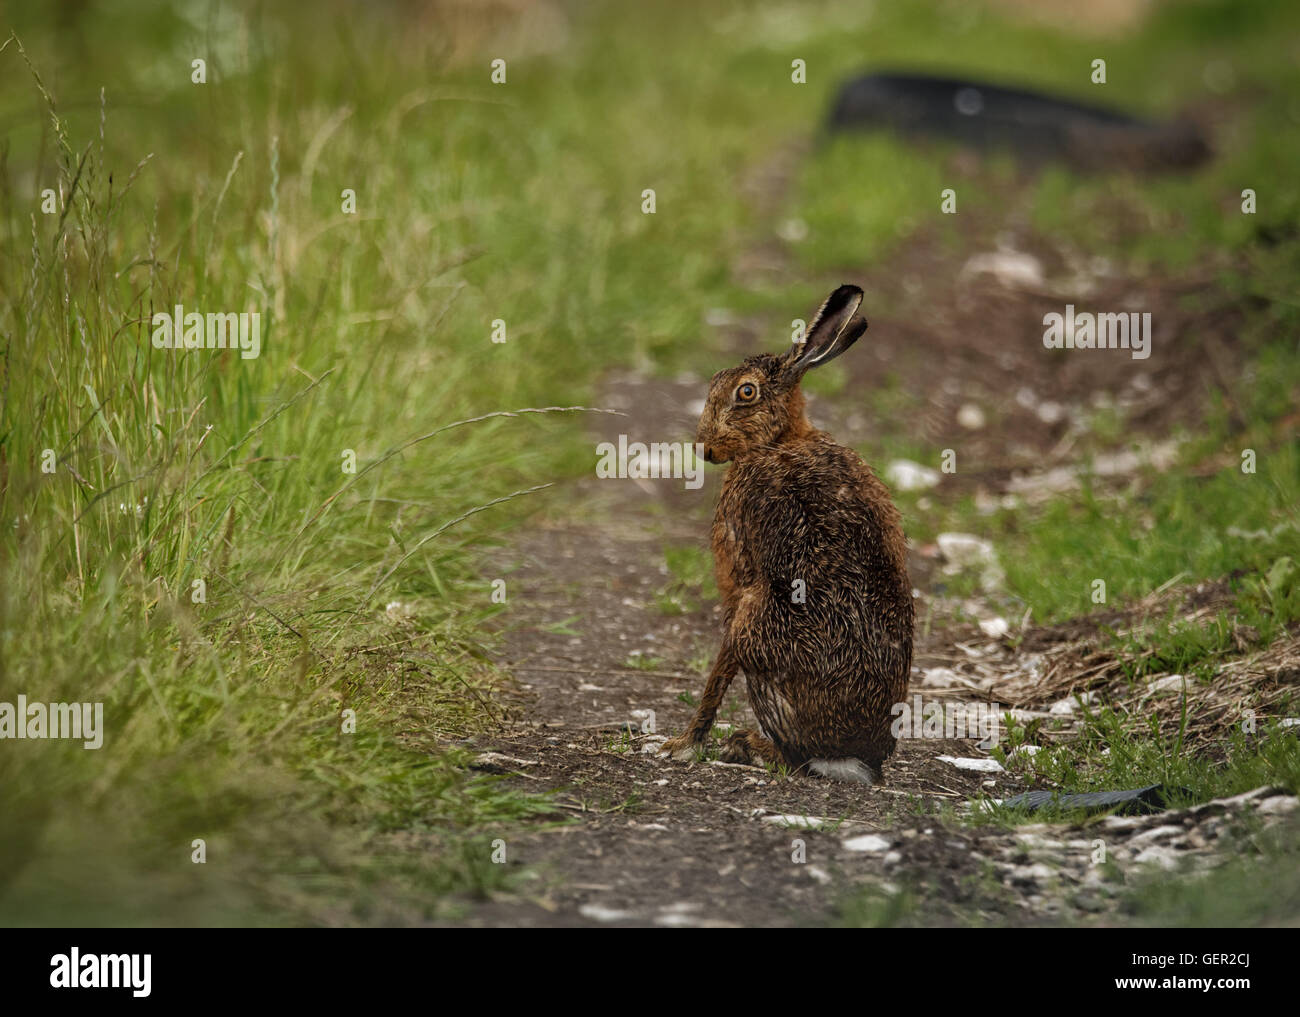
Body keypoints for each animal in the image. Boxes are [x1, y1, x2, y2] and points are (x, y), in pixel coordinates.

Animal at [659, 284, 913, 784]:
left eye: (745, 392)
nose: (704, 447)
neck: (778, 441)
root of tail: (854, 756)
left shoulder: (737, 587)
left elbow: (716, 678)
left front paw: (683, 745)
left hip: (758, 638)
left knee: (795, 757)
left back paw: (748, 745)